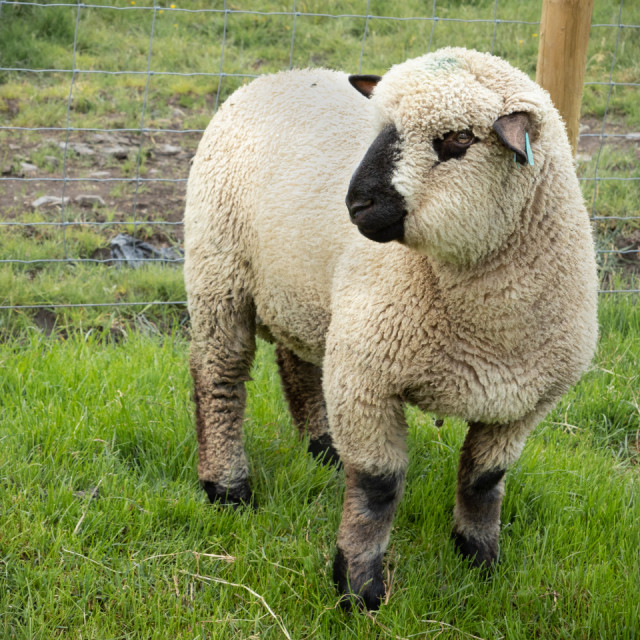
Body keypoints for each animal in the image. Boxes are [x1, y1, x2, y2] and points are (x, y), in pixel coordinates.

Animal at [184, 47, 598, 611]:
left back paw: (324, 449)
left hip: (306, 294)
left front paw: (479, 561)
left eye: (458, 138)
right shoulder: (366, 376)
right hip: (217, 272)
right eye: (379, 126)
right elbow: (377, 487)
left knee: (297, 362)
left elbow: (484, 481)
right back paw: (227, 487)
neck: (490, 327)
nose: (355, 204)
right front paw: (359, 590)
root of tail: (280, 74)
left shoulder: (524, 404)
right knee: (218, 378)